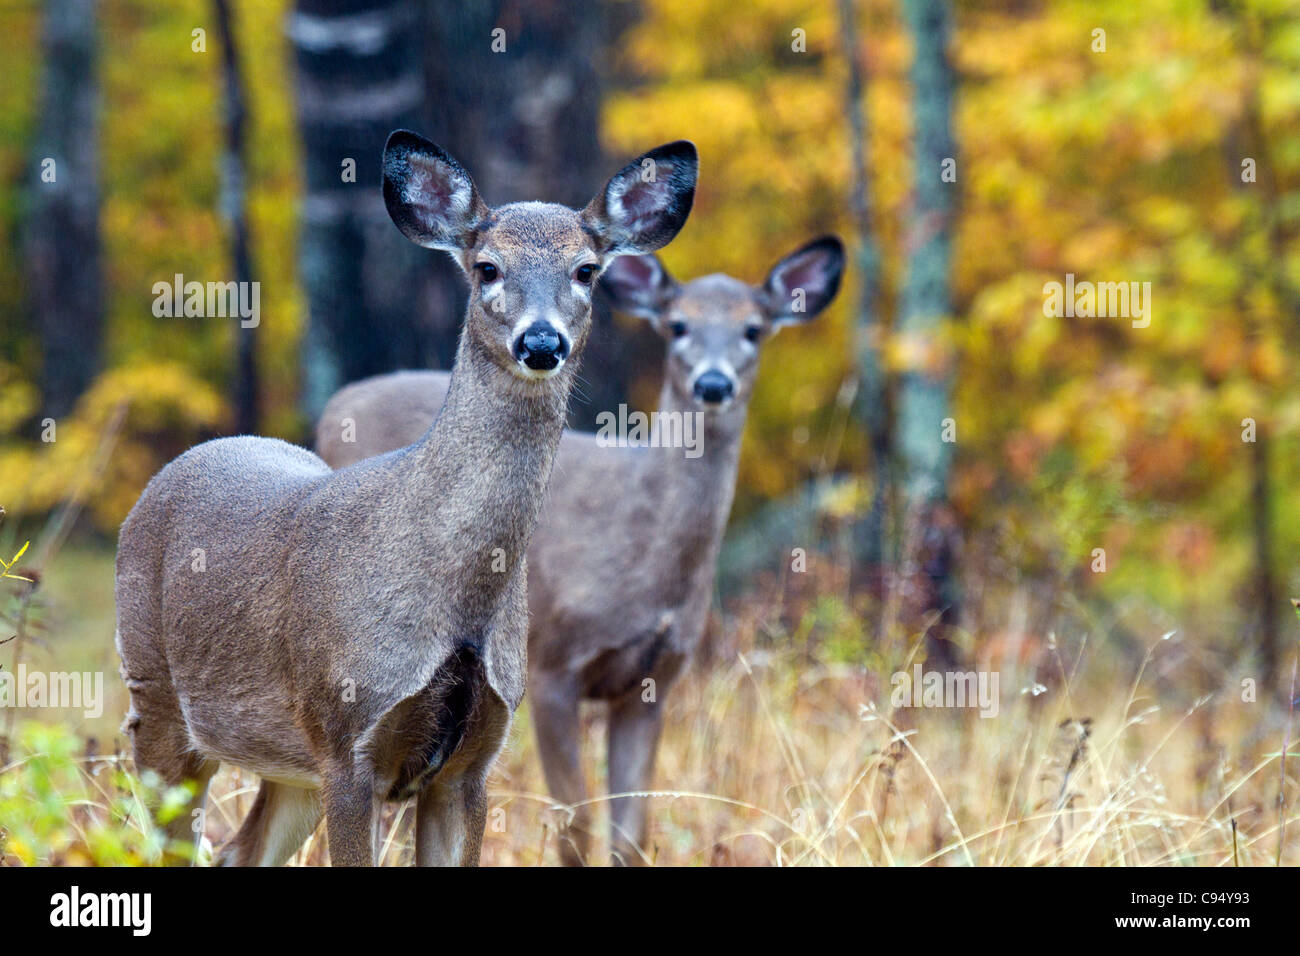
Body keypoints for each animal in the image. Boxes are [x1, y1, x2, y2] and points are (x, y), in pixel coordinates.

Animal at [113, 129, 698, 866]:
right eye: (487, 268)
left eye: (587, 270)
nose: (541, 342)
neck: (456, 602)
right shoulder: (346, 734)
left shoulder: (474, 758)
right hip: (156, 696)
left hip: (286, 765)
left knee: (237, 851)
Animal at [316, 236, 844, 863]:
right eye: (677, 325)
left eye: (754, 329)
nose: (713, 385)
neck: (646, 557)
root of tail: (335, 405)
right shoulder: (551, 664)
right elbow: (576, 822)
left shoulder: (654, 680)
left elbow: (631, 830)